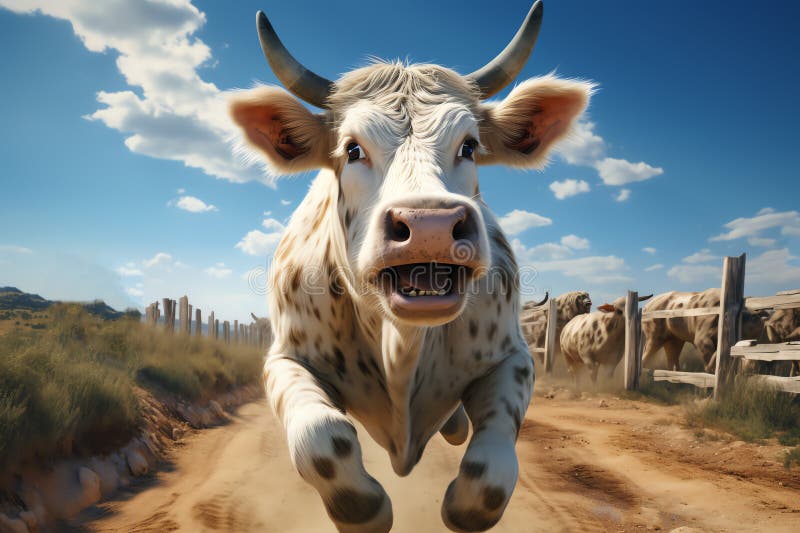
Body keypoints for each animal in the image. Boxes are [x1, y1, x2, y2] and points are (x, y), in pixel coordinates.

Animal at [227, 2, 593, 531]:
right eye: (352, 148)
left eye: (469, 145)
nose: (429, 225)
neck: (401, 345)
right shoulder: (285, 359)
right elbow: (323, 438)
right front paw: (367, 509)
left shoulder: (515, 358)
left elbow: (488, 478)